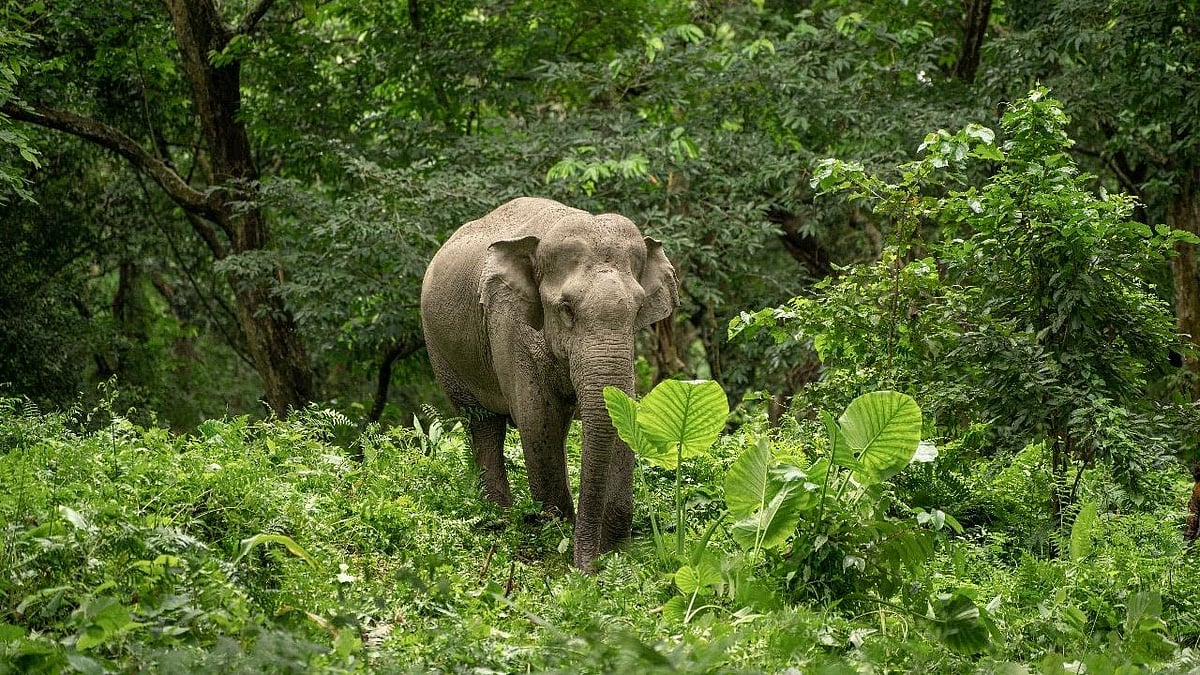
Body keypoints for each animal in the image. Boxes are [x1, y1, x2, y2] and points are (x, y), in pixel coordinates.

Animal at [420, 197, 678, 571]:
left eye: (639, 308)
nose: (586, 569)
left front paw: (616, 554)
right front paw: (557, 545)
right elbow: (538, 421)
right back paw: (499, 519)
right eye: (566, 309)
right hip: (441, 351)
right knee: (483, 424)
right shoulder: (510, 326)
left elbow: (621, 413)